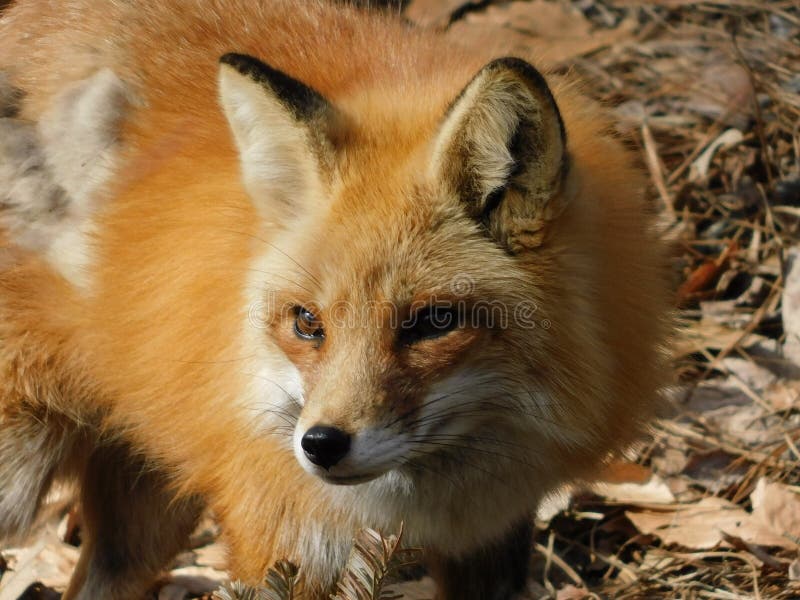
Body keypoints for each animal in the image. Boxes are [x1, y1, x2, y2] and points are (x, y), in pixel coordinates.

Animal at [0, 0, 668, 598]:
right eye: (306, 322)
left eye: (434, 322)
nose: (319, 446)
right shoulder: (287, 536)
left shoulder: (495, 532)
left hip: (145, 513)